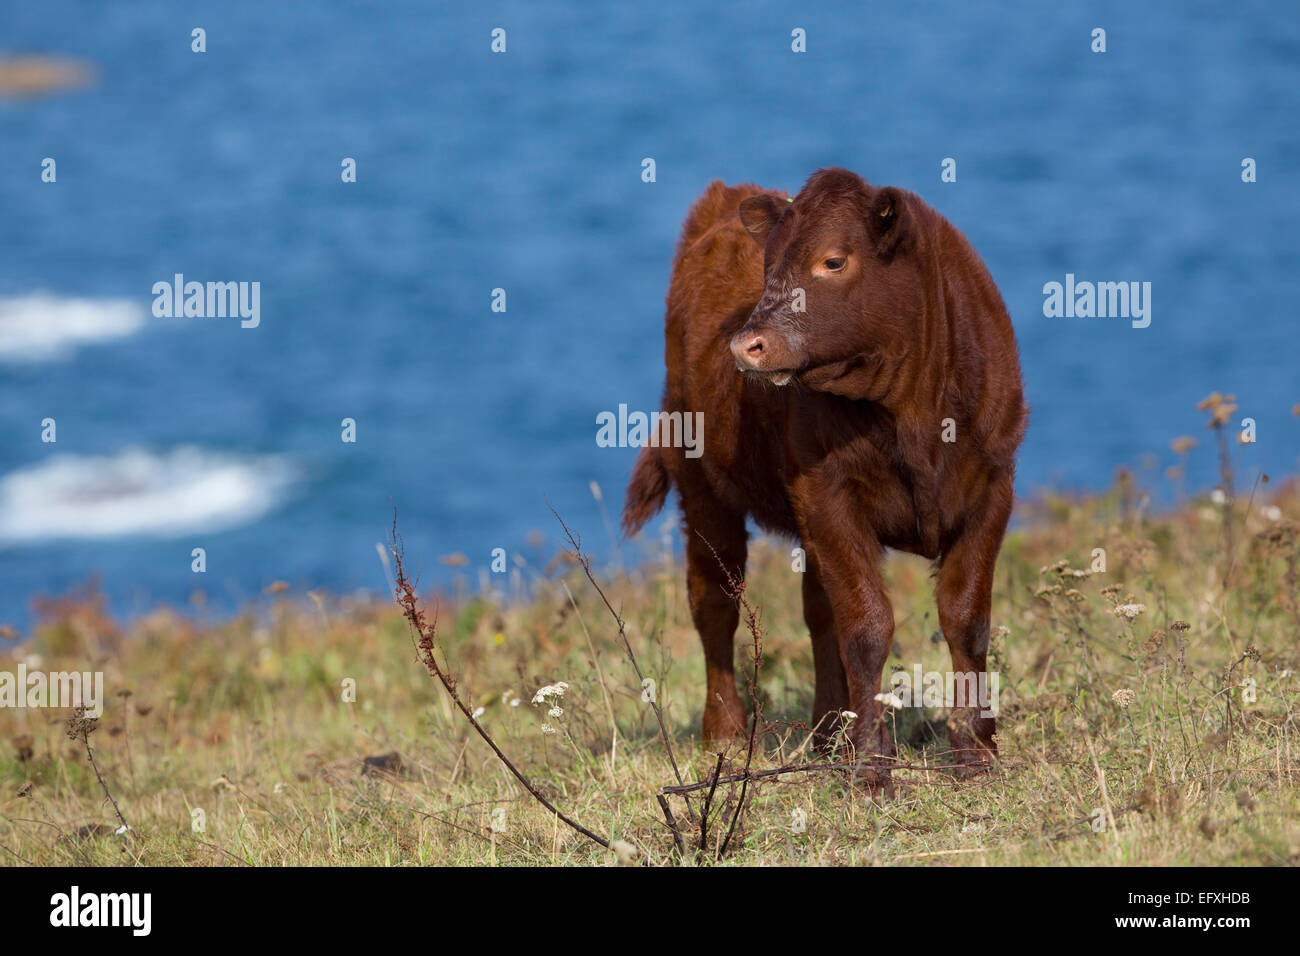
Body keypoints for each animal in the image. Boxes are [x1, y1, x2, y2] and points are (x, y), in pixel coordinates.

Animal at [622, 167, 1028, 792]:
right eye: (768, 264)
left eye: (833, 261)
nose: (746, 345)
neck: (913, 411)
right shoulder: (828, 494)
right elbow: (866, 625)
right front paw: (871, 771)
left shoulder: (992, 486)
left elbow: (965, 619)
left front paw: (977, 754)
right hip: (701, 483)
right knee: (715, 603)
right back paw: (727, 734)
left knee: (816, 610)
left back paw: (828, 733)